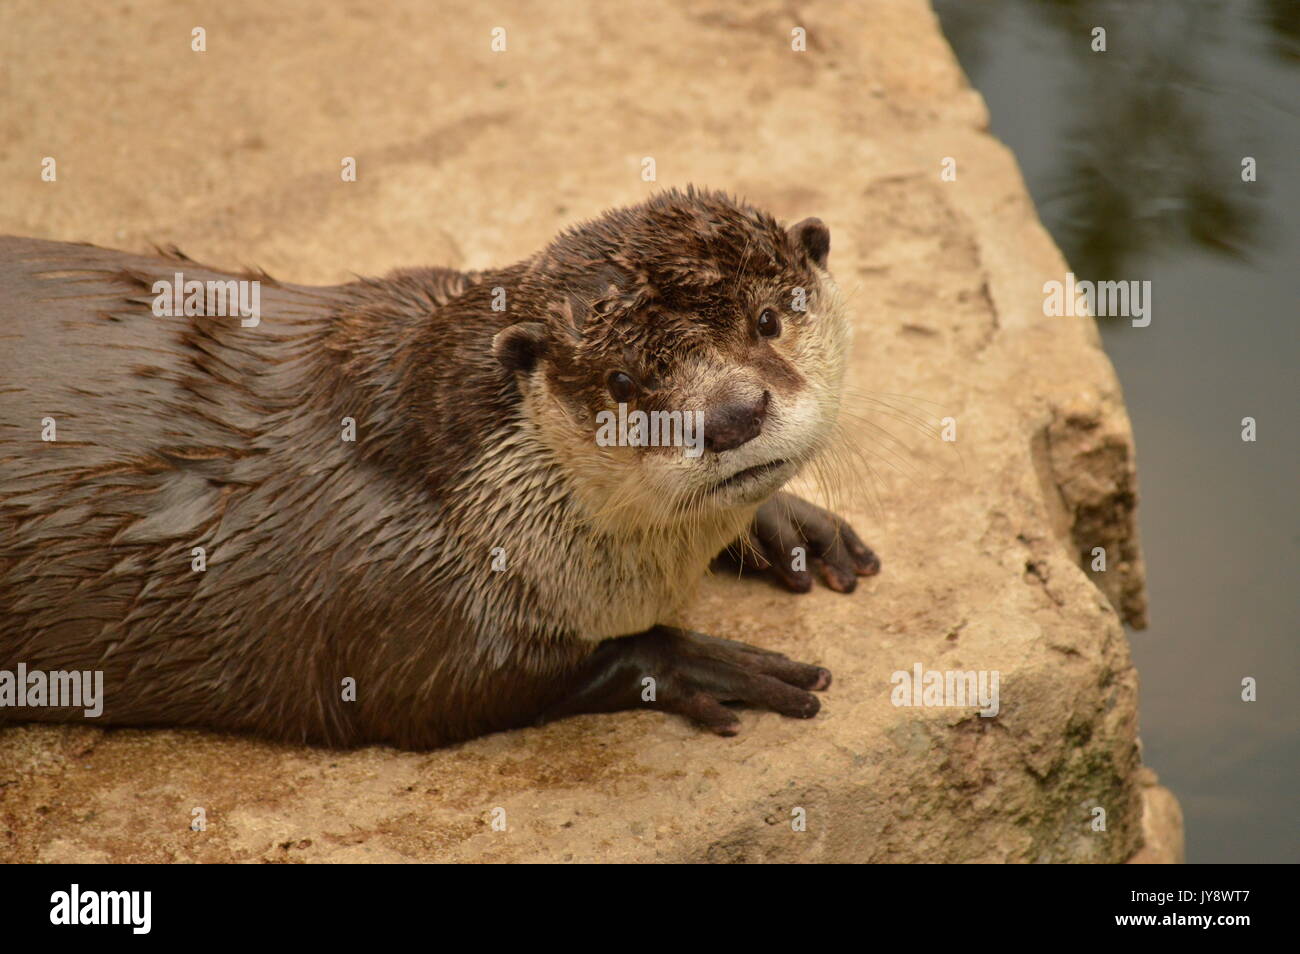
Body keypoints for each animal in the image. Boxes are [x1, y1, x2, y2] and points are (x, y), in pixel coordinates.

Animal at [0, 187, 878, 749]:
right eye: (623, 384)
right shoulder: (387, 592)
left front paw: (789, 525)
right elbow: (441, 694)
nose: (729, 415)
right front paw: (700, 660)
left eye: (767, 321)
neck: (460, 492)